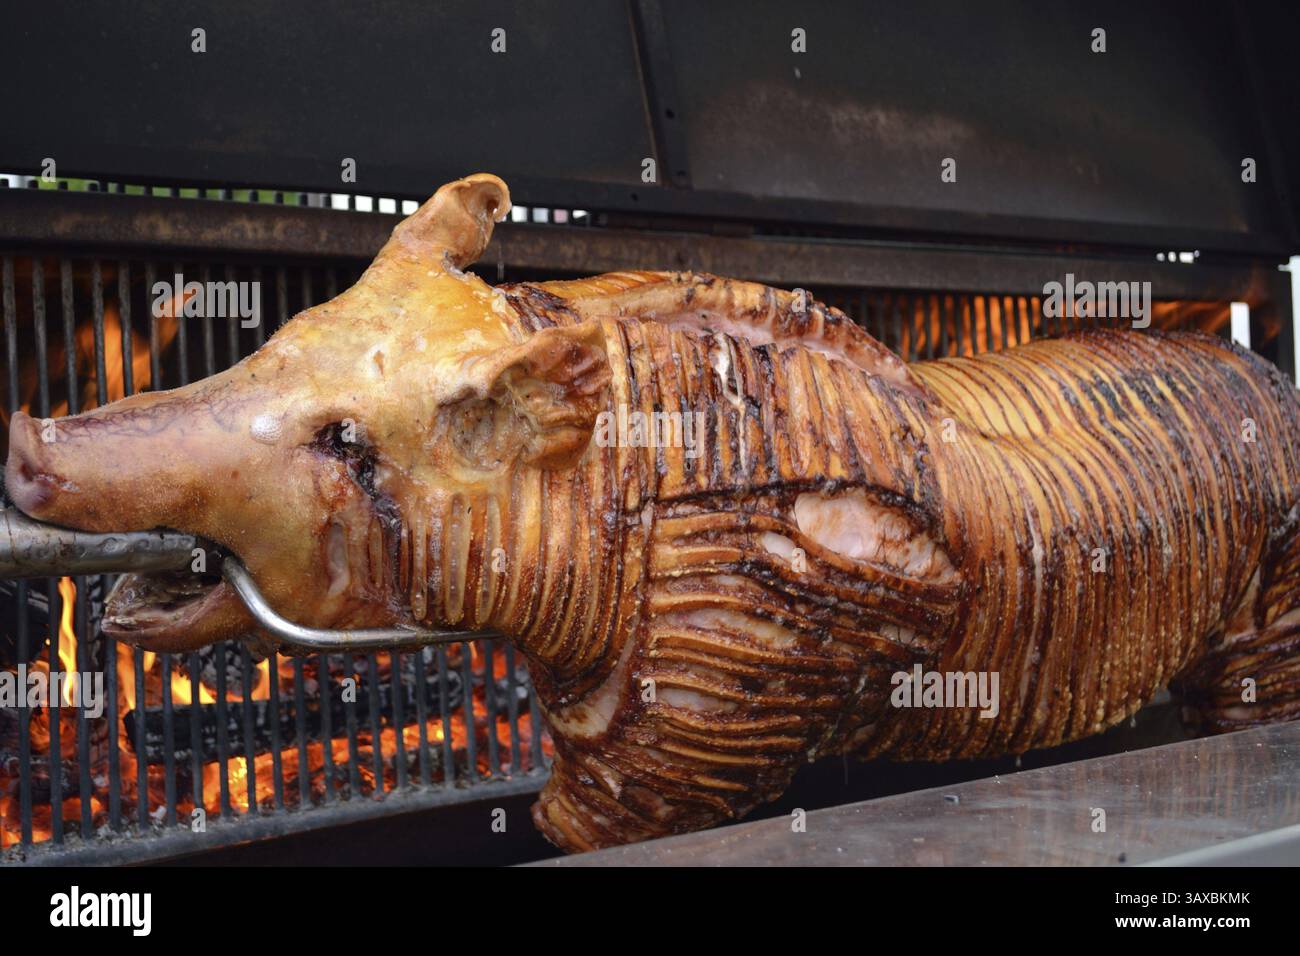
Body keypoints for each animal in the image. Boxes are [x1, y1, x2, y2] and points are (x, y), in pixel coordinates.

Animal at [7, 174, 1300, 853]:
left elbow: (583, 819)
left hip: (1268, 617)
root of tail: (1265, 378)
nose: (25, 446)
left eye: (345, 440)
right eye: (274, 339)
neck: (603, 501)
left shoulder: (700, 714)